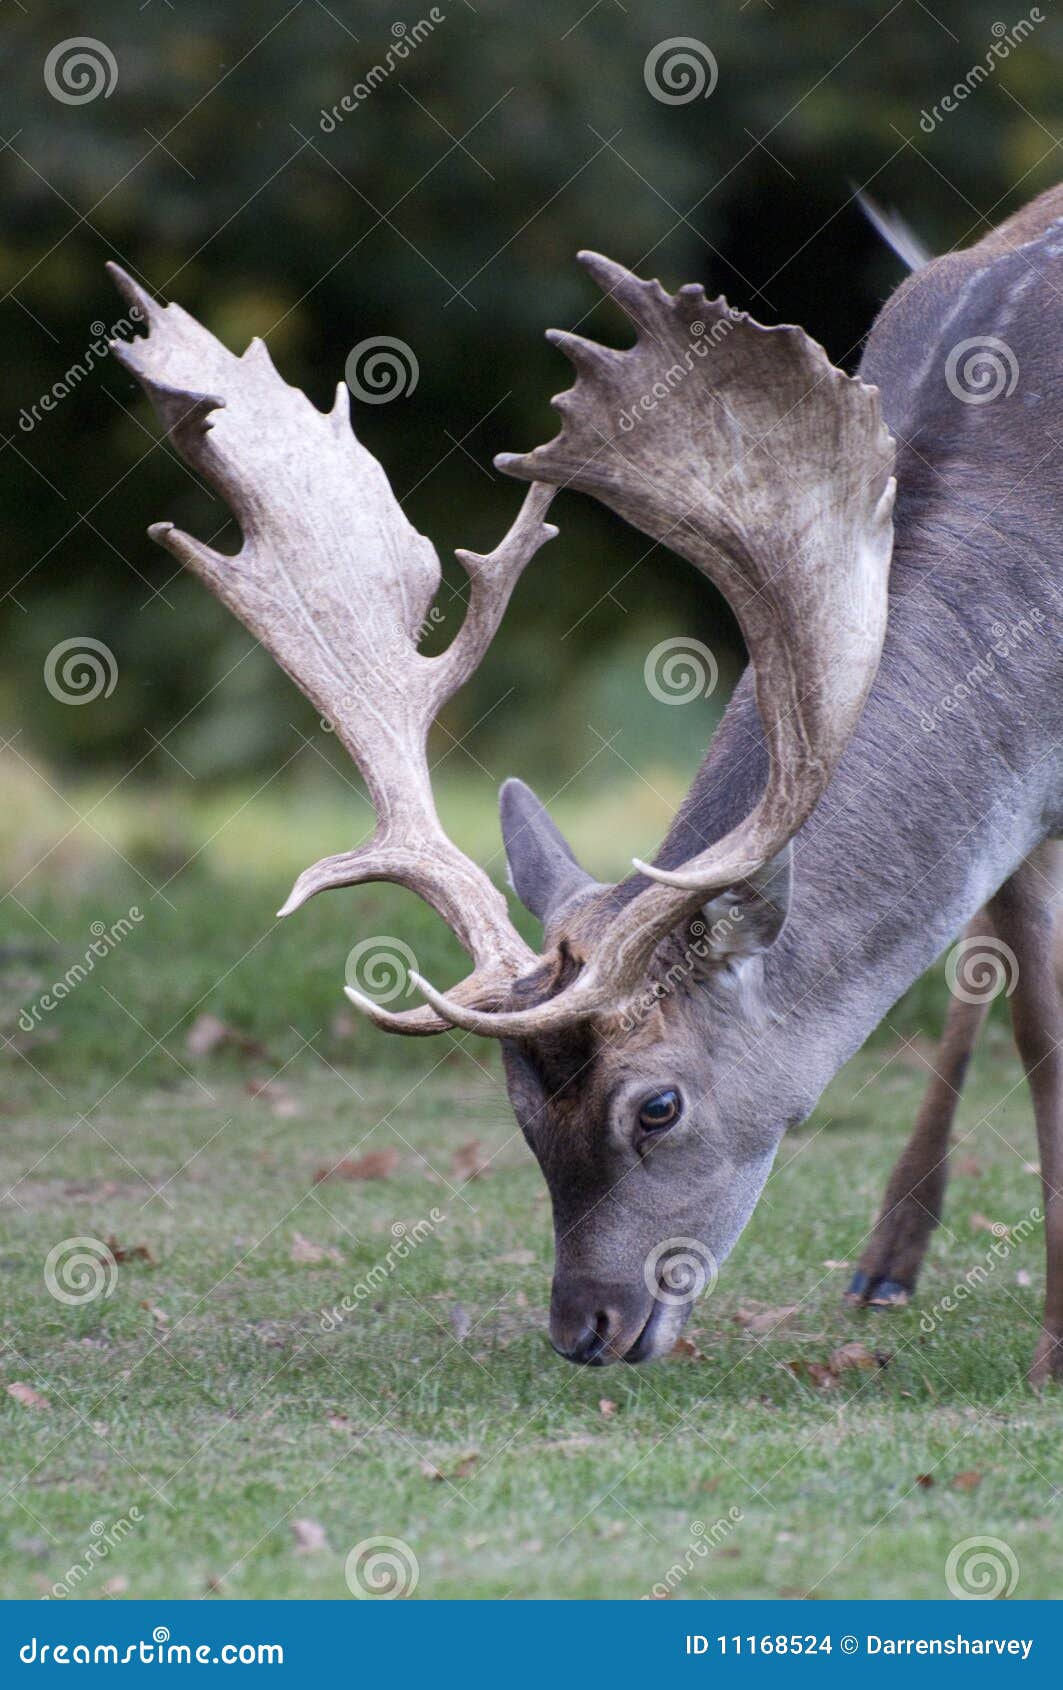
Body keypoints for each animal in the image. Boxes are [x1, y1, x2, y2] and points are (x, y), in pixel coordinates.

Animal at [106, 179, 1063, 1387]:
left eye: (657, 1106)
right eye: (518, 1109)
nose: (584, 1329)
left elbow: (1043, 1032)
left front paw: (1053, 1353)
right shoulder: (1016, 805)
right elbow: (1028, 1006)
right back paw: (884, 1261)